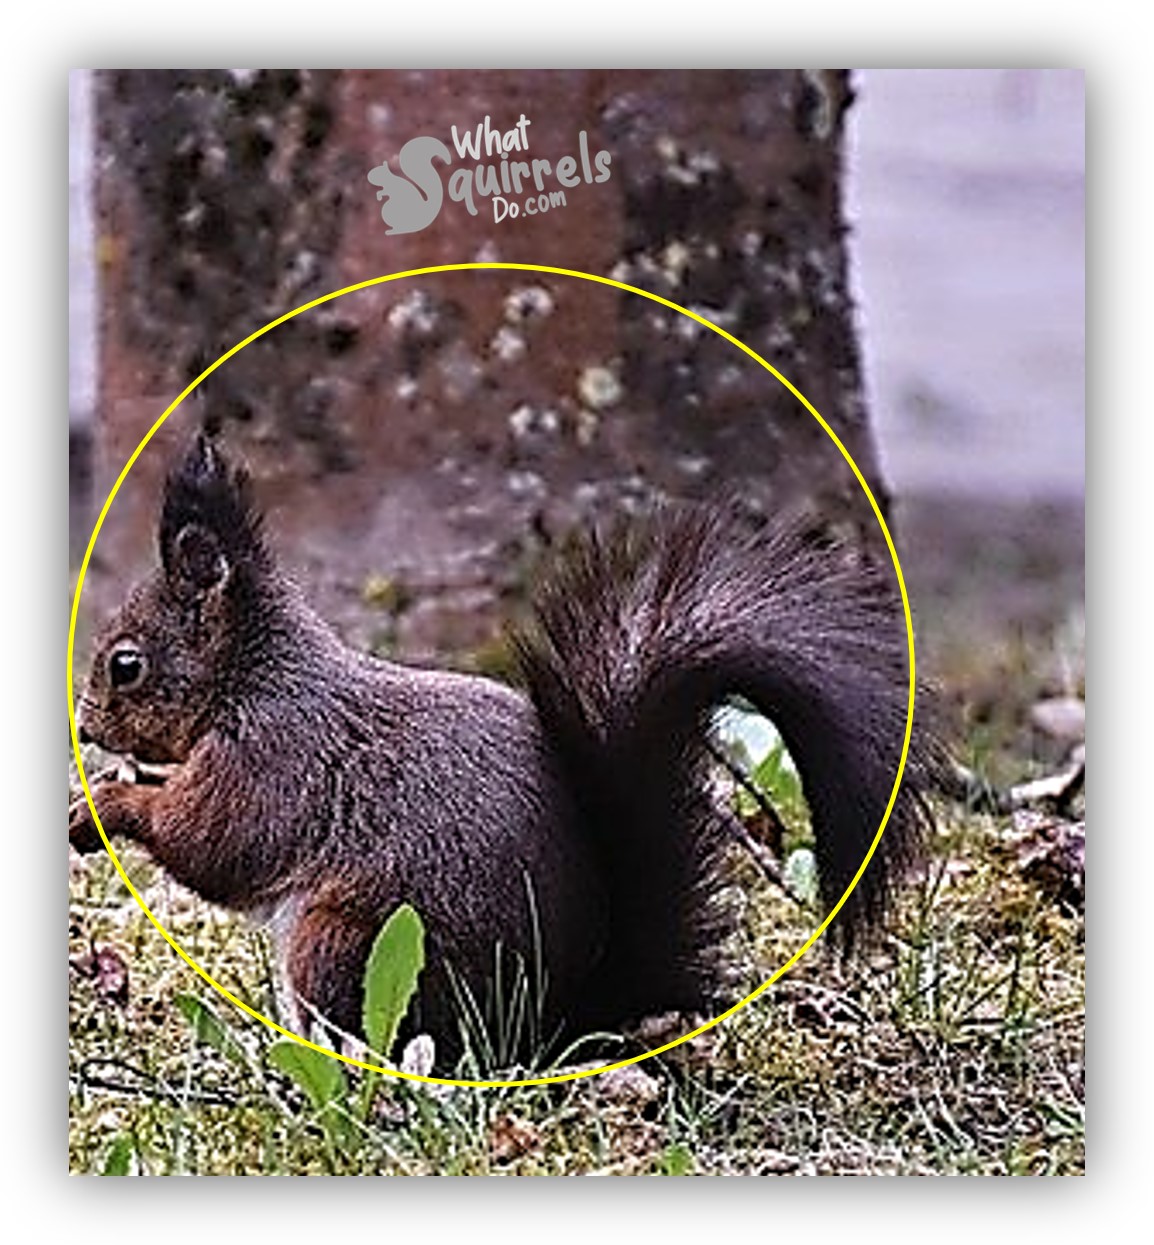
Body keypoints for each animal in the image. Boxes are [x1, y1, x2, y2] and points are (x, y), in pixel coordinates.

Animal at [70, 434, 939, 1065]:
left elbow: (215, 844)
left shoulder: (276, 756)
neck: (252, 677)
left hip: (348, 940)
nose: (85, 729)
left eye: (126, 664)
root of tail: (559, 1019)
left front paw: (104, 806)